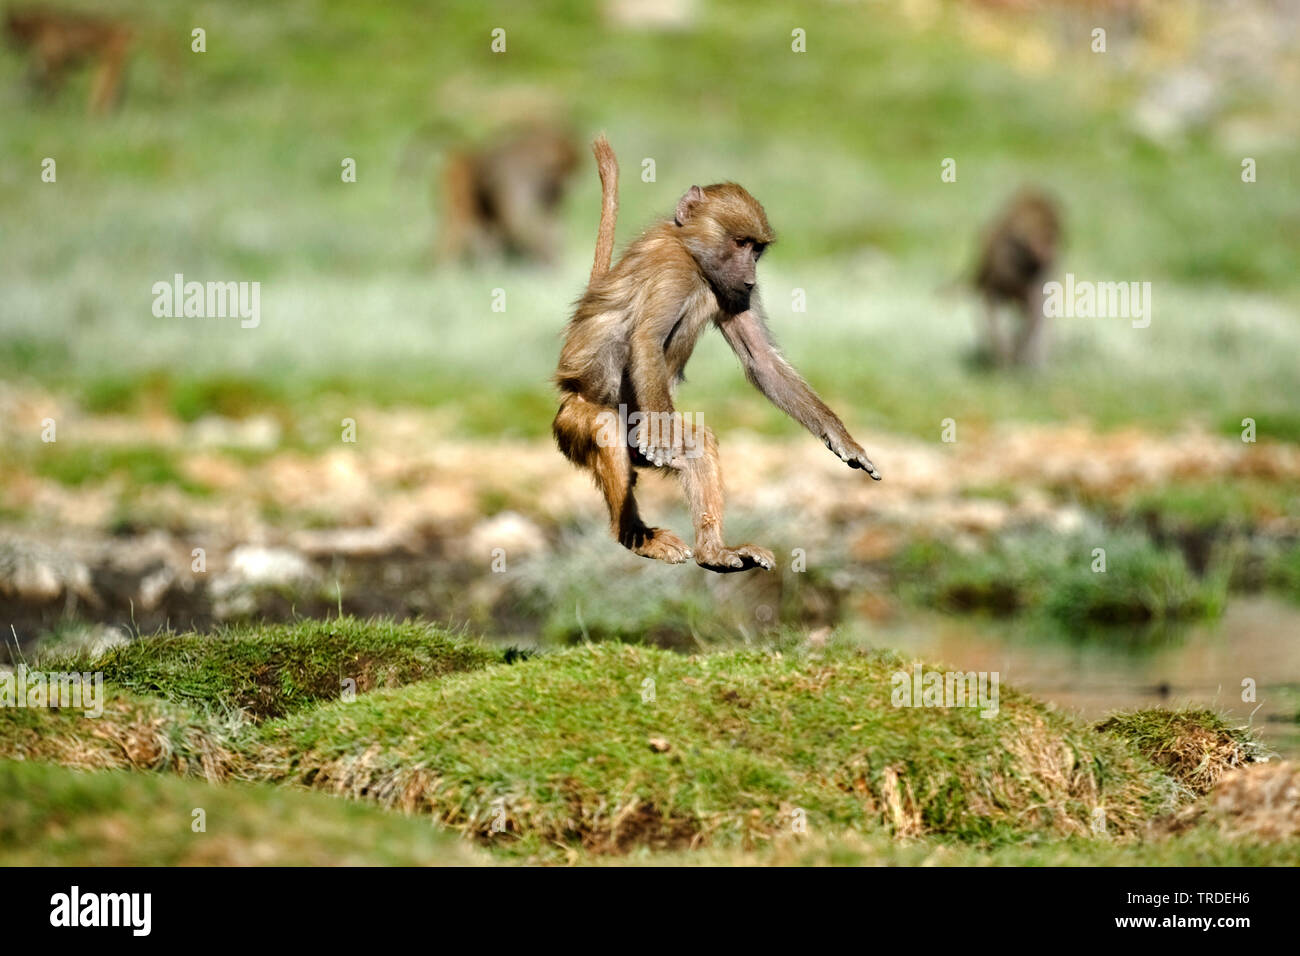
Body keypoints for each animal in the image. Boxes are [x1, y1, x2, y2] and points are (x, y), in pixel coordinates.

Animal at [4, 7, 133, 114]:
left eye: (9, 35)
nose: (8, 46)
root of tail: (124, 28)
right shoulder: (46, 69)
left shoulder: (55, 70)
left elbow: (50, 93)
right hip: (113, 69)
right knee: (114, 94)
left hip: (106, 70)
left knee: (104, 95)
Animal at [552, 136, 880, 573]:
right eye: (740, 243)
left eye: (756, 249)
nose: (751, 278)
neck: (694, 258)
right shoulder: (672, 269)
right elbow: (646, 340)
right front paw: (661, 440)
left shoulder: (731, 291)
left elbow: (761, 359)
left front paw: (843, 441)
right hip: (578, 420)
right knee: (606, 428)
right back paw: (636, 536)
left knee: (698, 442)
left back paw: (716, 554)